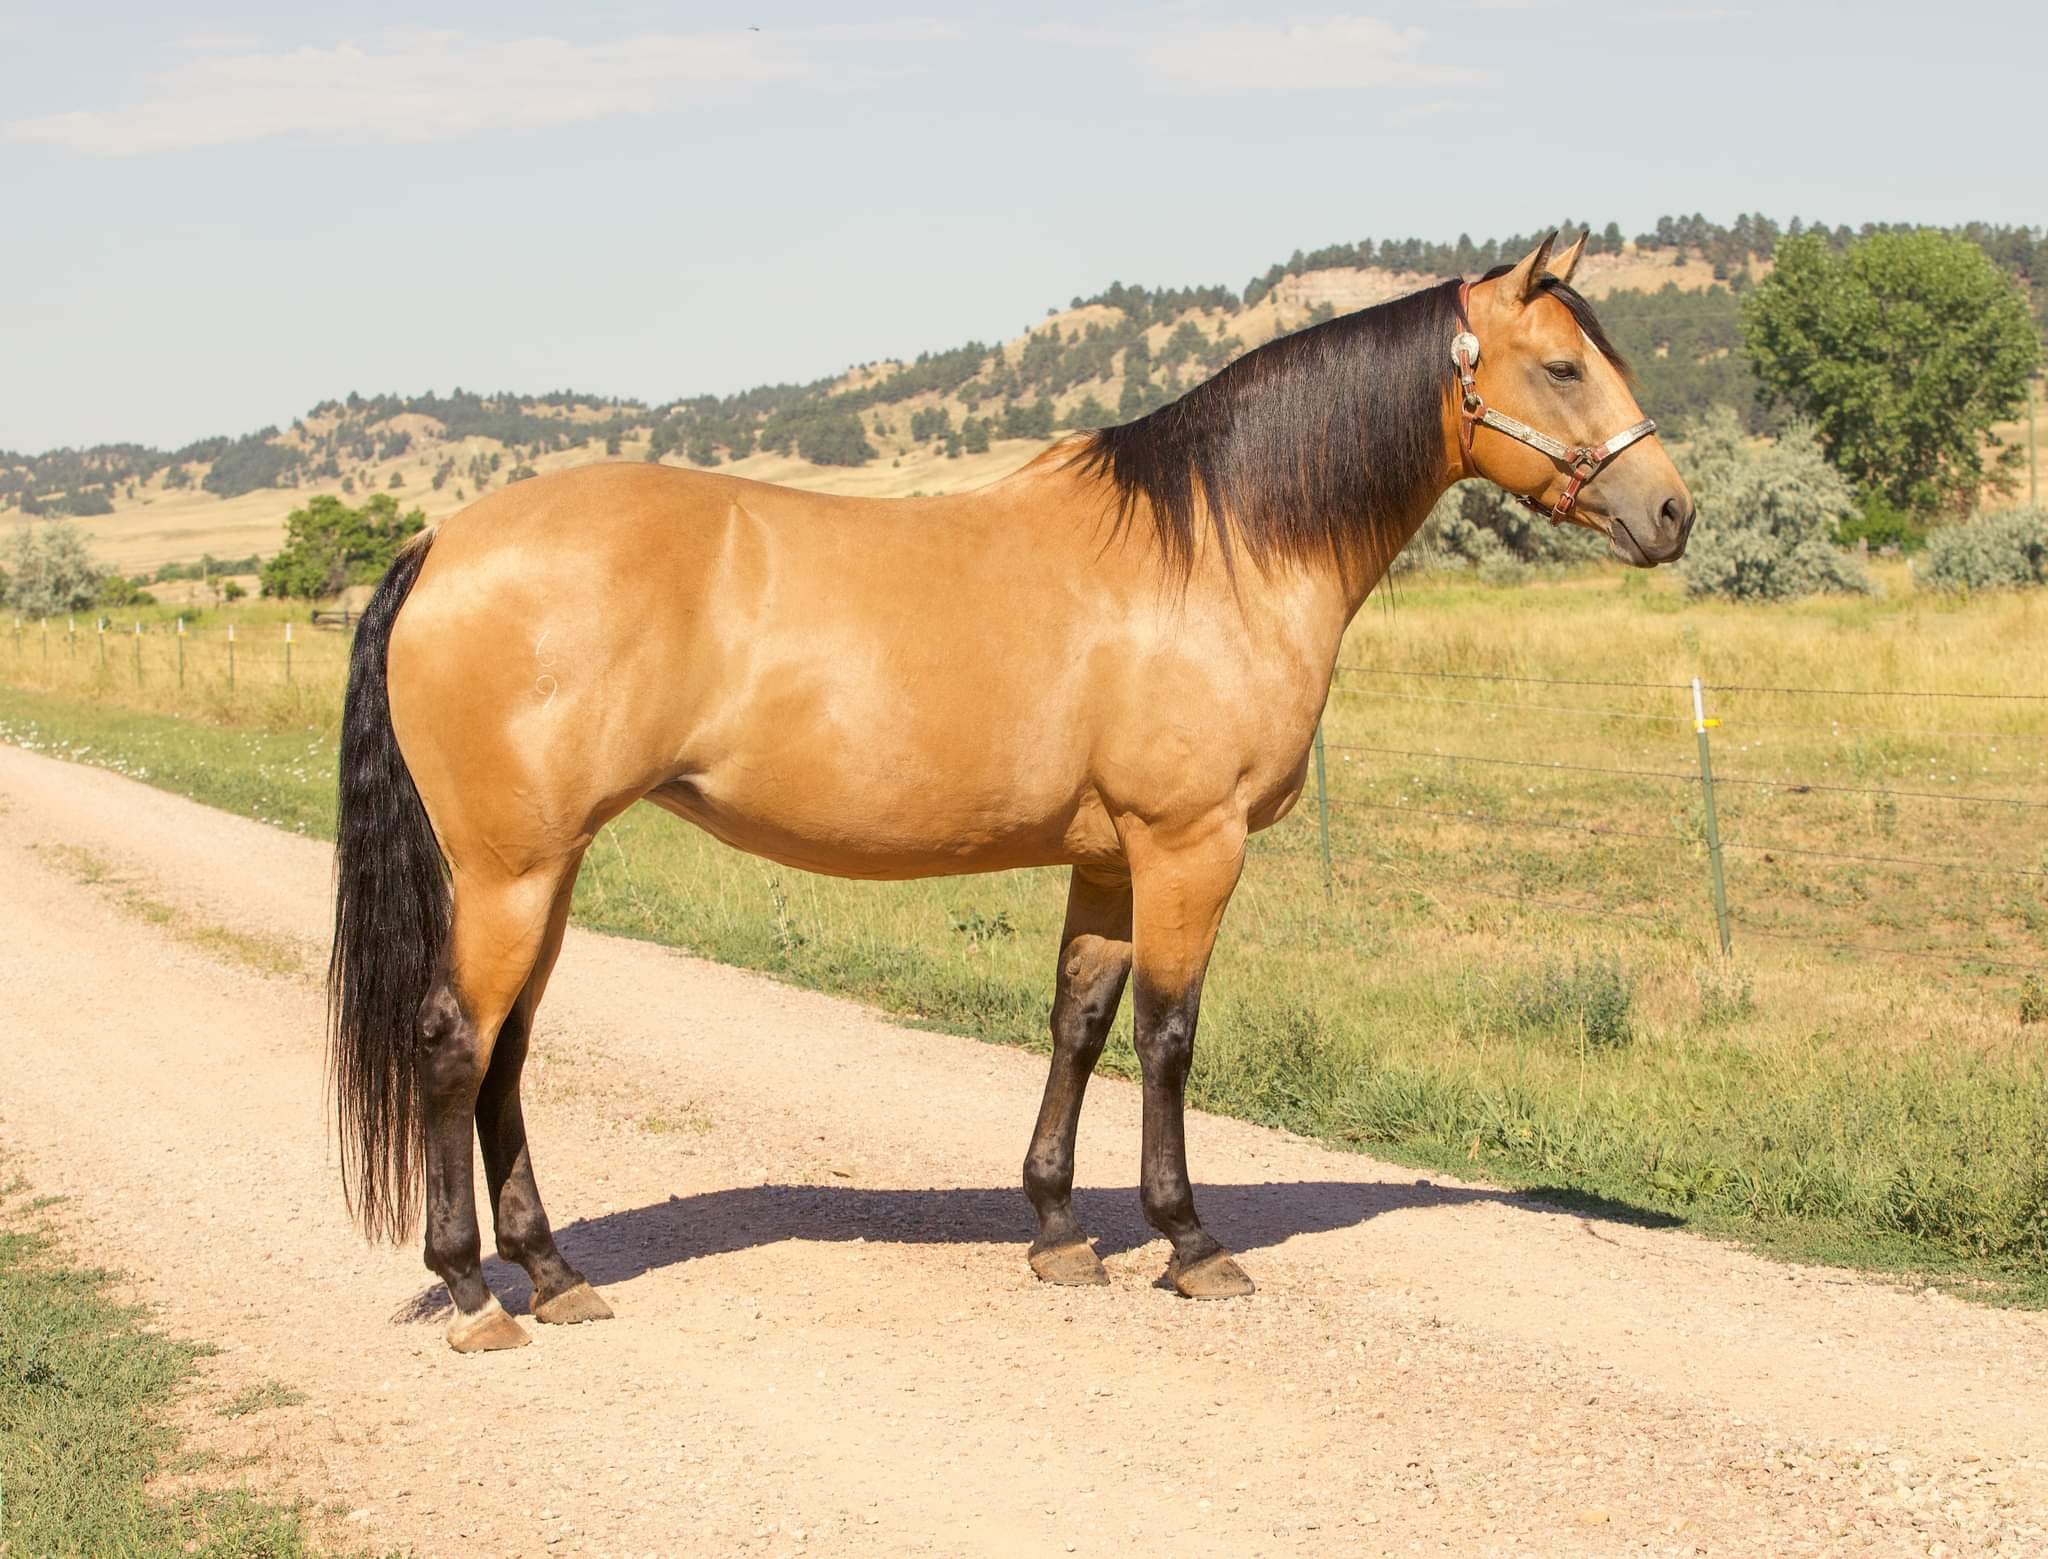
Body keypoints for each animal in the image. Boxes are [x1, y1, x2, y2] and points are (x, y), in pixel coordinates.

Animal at [328, 232, 1694, 1352]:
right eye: (1561, 367)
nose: (1671, 510)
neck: (1215, 550)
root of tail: (440, 543)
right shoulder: (1188, 846)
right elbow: (1168, 1036)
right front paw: (1188, 1240)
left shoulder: (1106, 856)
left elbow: (1076, 1023)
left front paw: (1055, 1227)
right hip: (510, 872)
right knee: (454, 1044)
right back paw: (474, 1292)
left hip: (545, 872)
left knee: (506, 1056)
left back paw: (553, 1272)